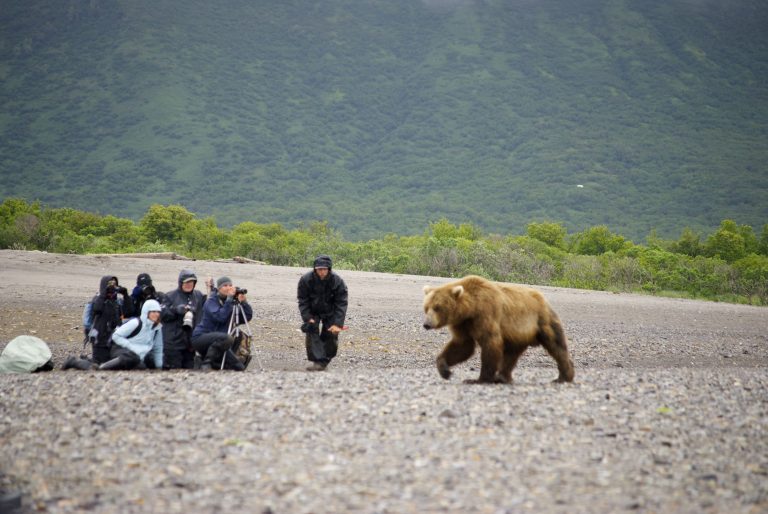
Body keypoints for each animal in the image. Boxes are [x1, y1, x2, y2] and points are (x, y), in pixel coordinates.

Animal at [422, 275, 574, 384]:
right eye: (426, 308)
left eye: (437, 307)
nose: (426, 324)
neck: (471, 309)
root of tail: (543, 299)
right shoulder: (463, 324)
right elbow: (462, 345)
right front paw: (445, 370)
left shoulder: (486, 314)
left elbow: (491, 343)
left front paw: (478, 379)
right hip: (517, 334)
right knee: (511, 354)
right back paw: (502, 377)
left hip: (541, 322)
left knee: (556, 345)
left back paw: (564, 376)